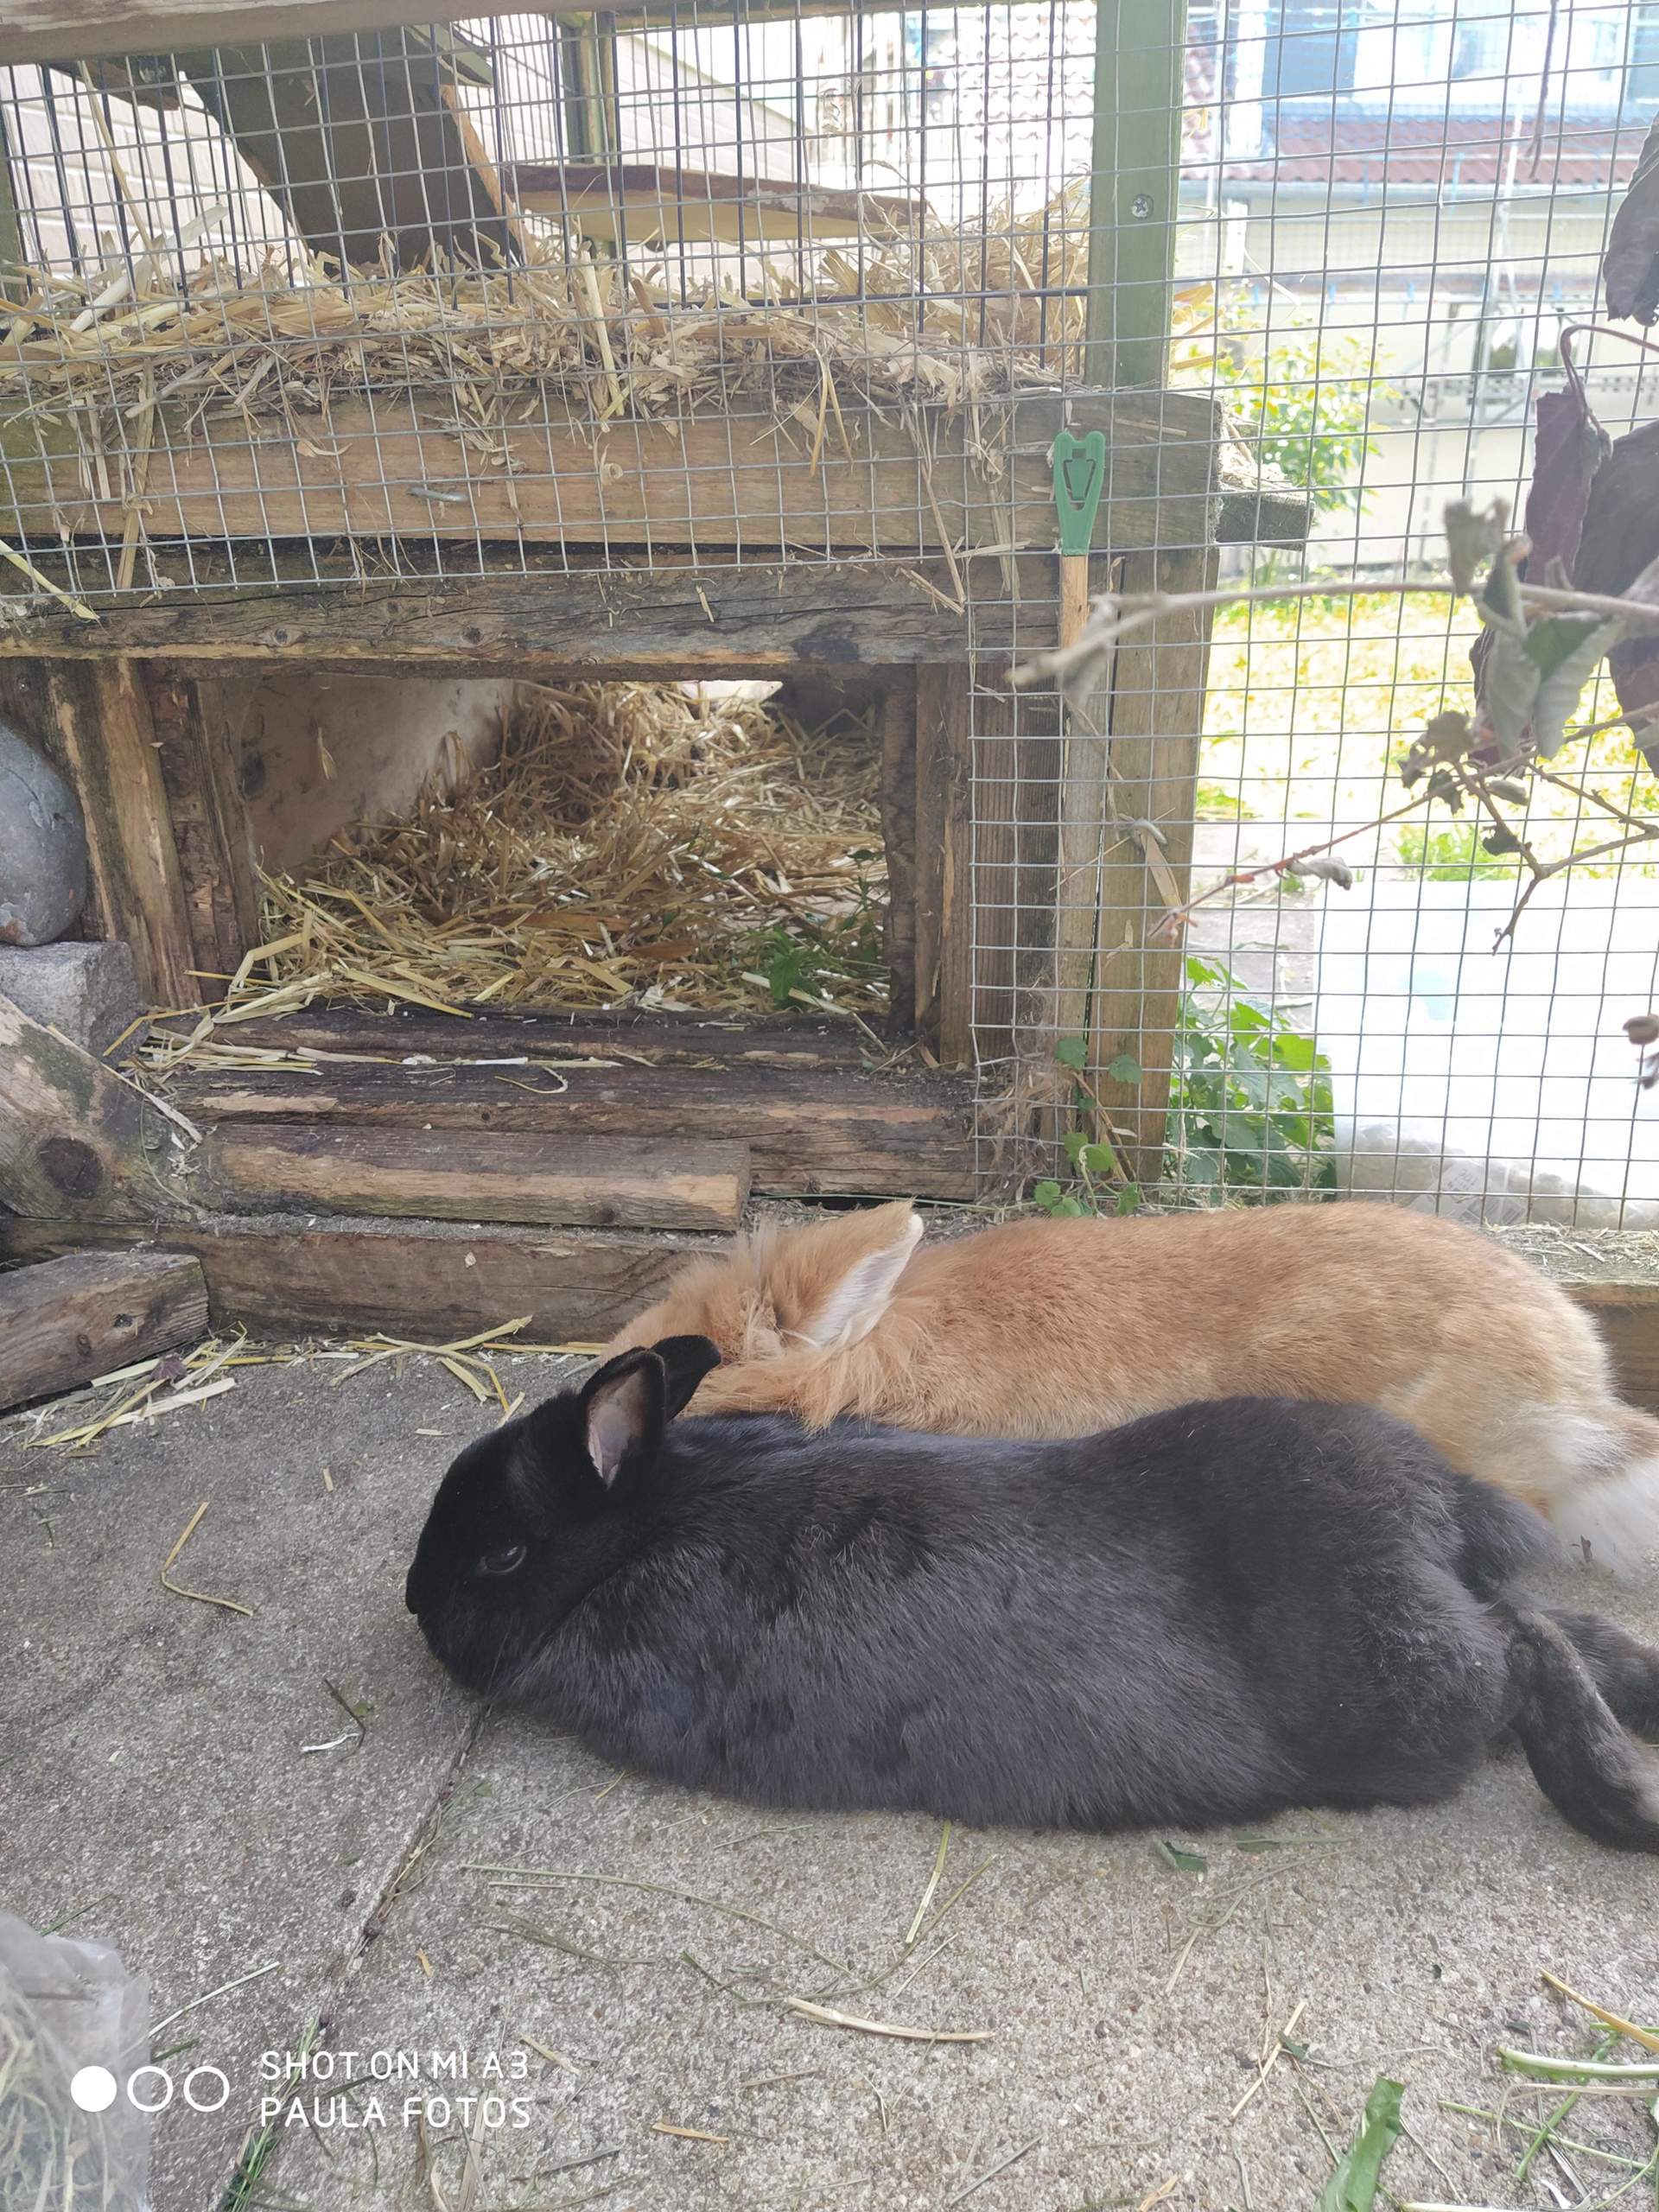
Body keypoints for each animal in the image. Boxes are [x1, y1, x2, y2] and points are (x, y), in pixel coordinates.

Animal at [406, 1335, 1659, 1850]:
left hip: (1406, 1692)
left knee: (1526, 1647)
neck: (652, 1517)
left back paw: (1615, 1800)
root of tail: (1439, 1502)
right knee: (1564, 1628)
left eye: (501, 1557)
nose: (416, 1600)